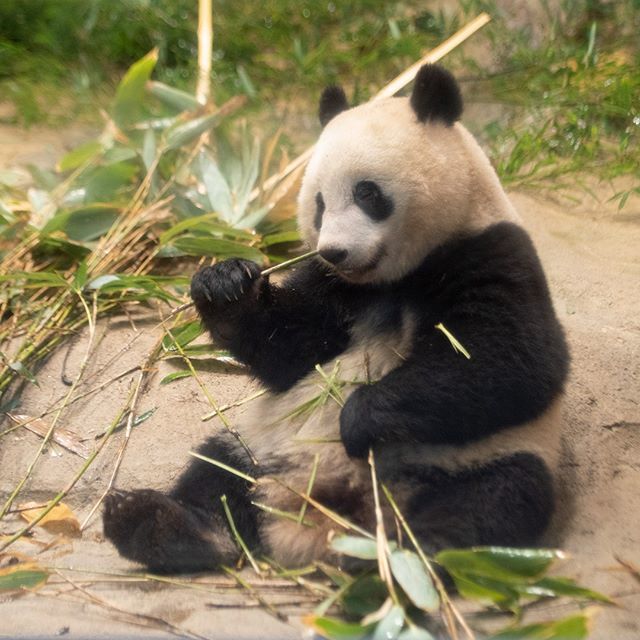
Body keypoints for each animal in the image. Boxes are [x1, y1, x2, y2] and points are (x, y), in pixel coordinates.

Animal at [103, 64, 569, 573]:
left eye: (368, 193)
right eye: (320, 202)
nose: (335, 251)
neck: (391, 280)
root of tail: (321, 526)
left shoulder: (490, 251)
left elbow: (510, 362)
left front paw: (360, 418)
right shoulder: (333, 288)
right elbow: (289, 350)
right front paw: (223, 284)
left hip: (477, 460)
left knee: (487, 503)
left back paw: (393, 563)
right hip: (263, 445)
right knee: (219, 469)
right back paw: (161, 525)